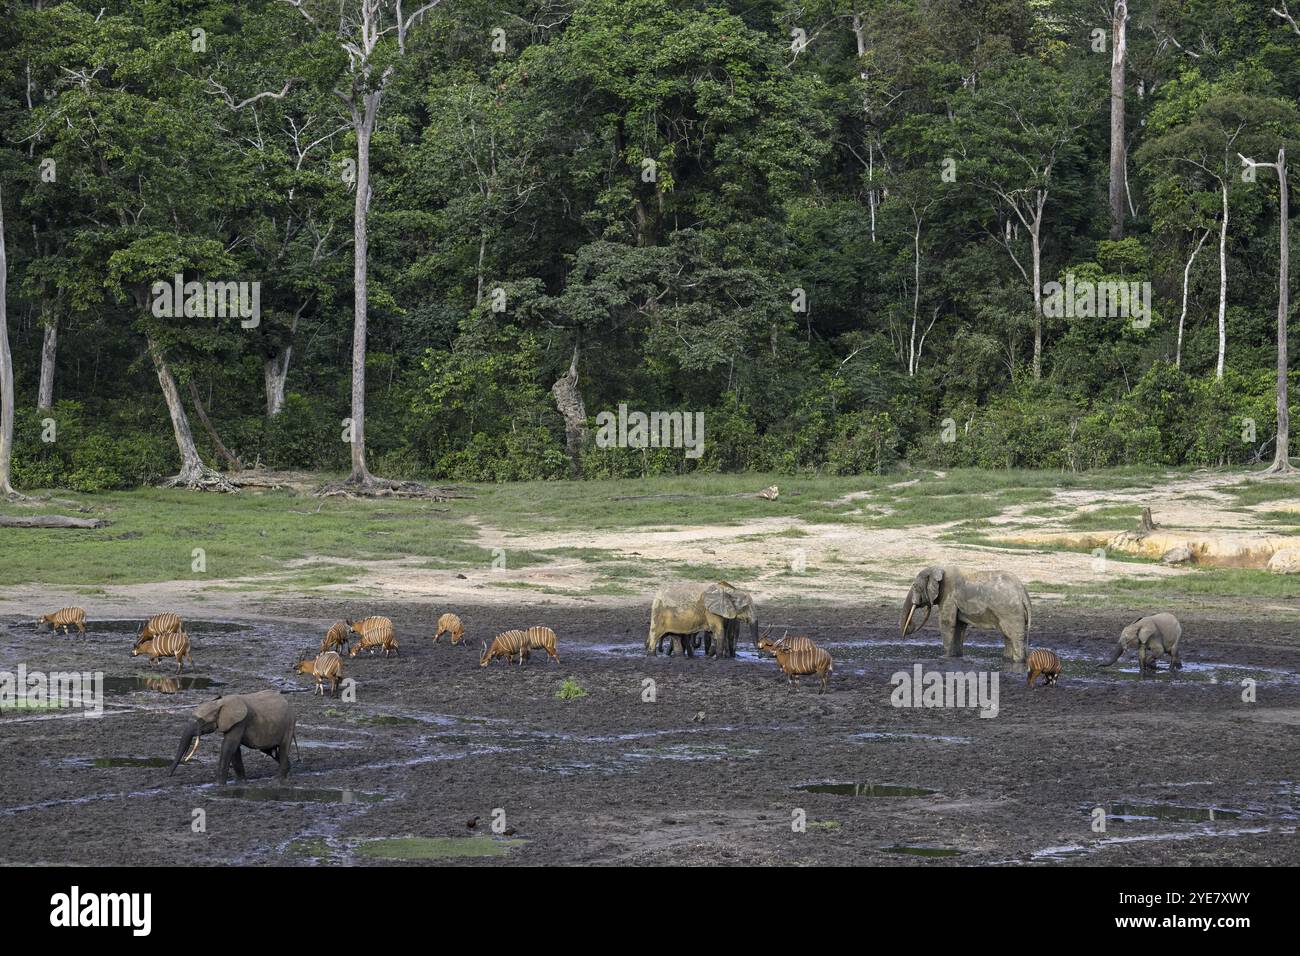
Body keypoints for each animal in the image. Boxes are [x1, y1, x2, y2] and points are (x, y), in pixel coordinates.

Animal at [900, 565, 1032, 668]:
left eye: (915, 586)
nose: (912, 625)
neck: (937, 568)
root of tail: (1023, 593)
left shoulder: (948, 595)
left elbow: (946, 623)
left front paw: (944, 658)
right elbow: (958, 626)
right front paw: (955, 657)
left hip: (1010, 611)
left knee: (1014, 636)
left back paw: (1018, 662)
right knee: (1008, 636)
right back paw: (1008, 660)